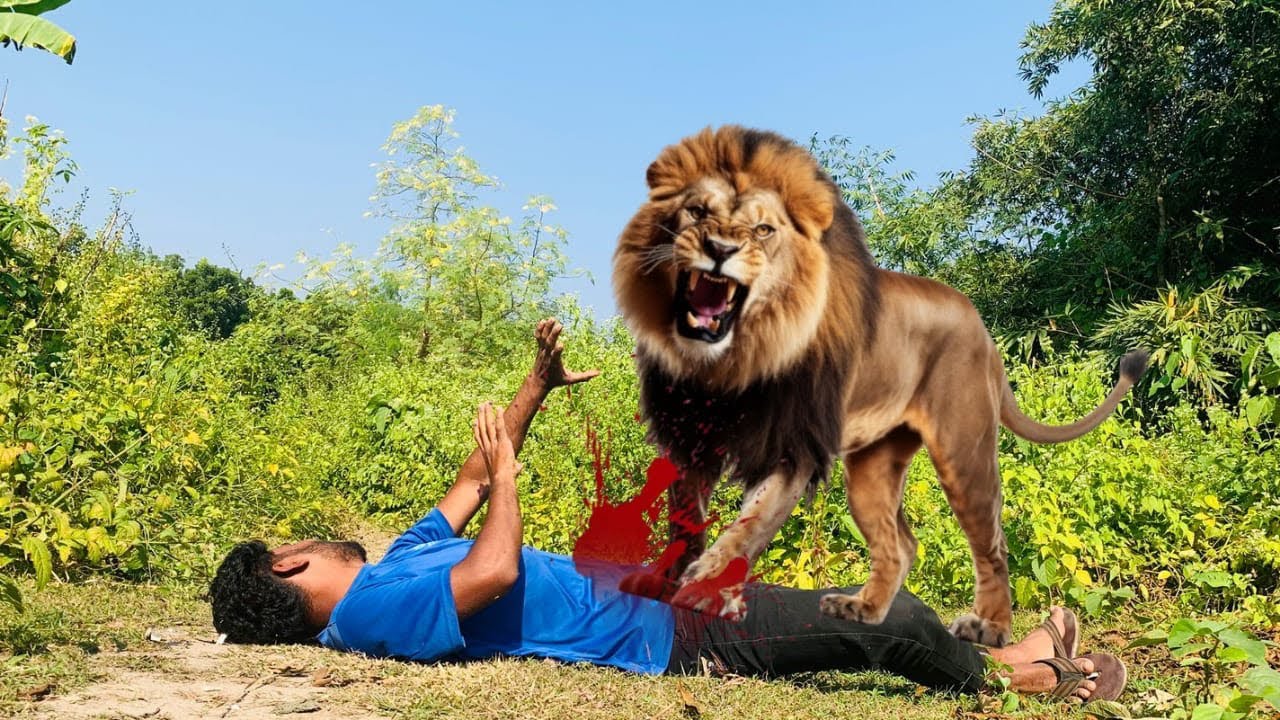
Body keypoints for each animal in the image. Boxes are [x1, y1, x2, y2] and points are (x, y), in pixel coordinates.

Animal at [611, 126, 1147, 646]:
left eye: (764, 230)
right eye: (697, 212)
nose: (720, 251)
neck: (730, 361)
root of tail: (983, 329)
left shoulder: (794, 452)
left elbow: (748, 528)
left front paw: (705, 590)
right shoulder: (688, 439)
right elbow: (684, 521)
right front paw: (664, 582)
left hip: (964, 452)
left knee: (992, 544)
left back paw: (990, 628)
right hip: (873, 467)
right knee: (902, 544)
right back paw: (862, 608)